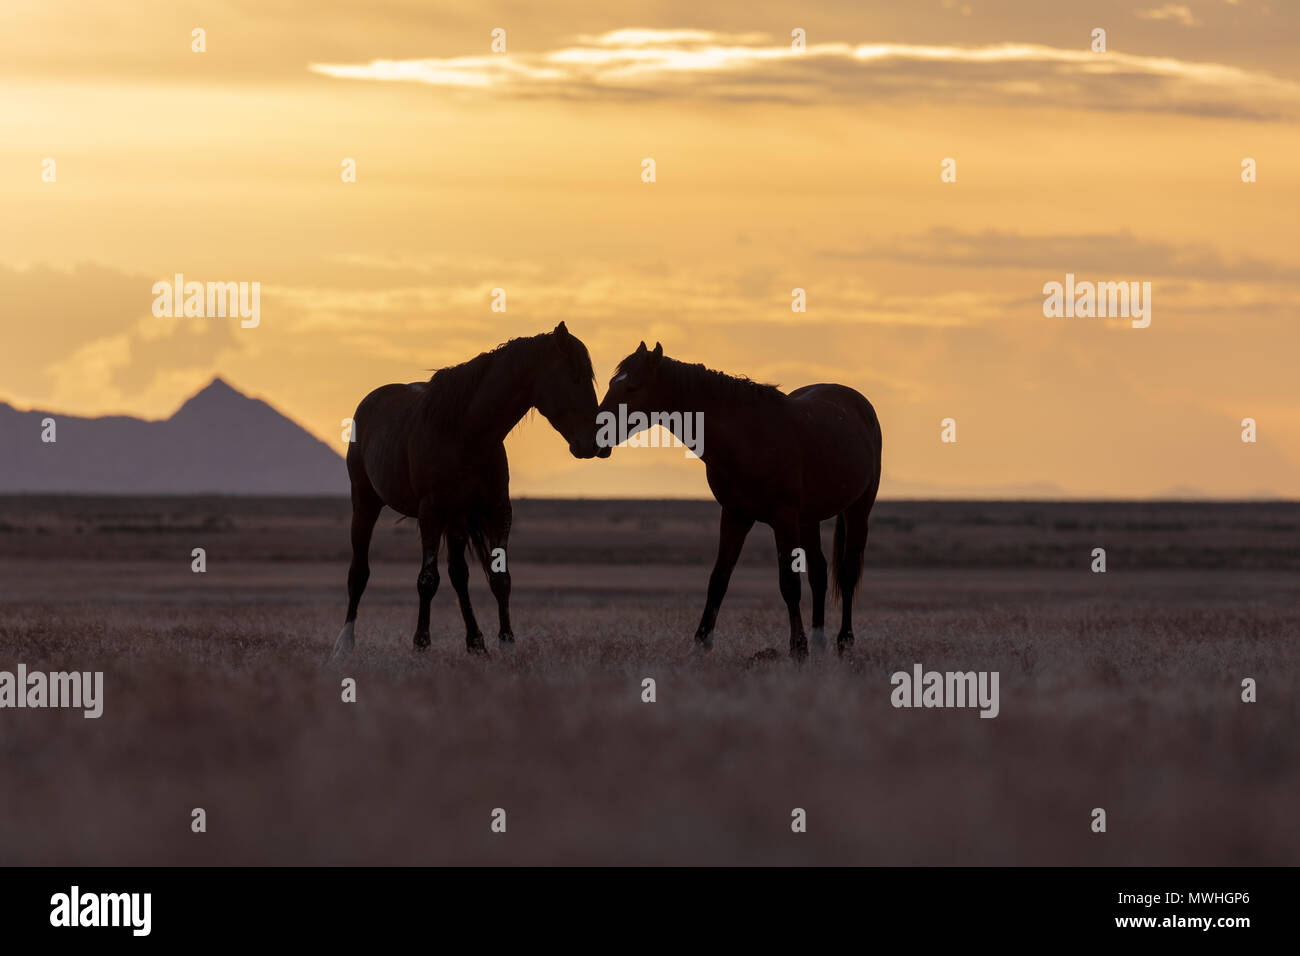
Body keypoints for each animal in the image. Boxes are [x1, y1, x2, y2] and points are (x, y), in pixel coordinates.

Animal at [331, 322, 607, 659]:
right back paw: (345, 644)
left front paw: (506, 642)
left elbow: (499, 577)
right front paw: (421, 643)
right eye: (573, 376)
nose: (593, 443)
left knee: (459, 575)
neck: (467, 432)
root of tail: (371, 401)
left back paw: (475, 641)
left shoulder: (497, 509)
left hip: (457, 519)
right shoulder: (431, 511)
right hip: (366, 502)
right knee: (359, 572)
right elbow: (427, 579)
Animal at [597, 342, 882, 660]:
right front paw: (700, 644)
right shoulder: (735, 515)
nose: (594, 433)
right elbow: (719, 579)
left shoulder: (783, 519)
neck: (748, 438)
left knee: (846, 573)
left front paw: (797, 649)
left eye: (632, 387)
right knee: (819, 573)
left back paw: (844, 642)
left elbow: (789, 583)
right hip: (809, 519)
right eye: (612, 383)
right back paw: (819, 641)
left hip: (858, 510)